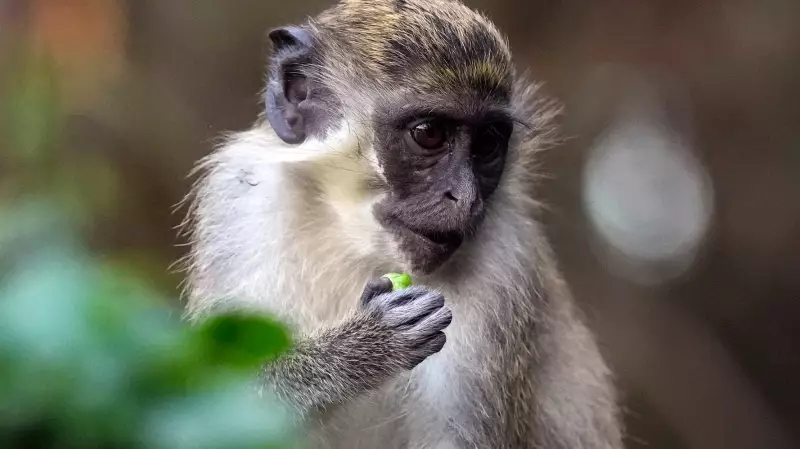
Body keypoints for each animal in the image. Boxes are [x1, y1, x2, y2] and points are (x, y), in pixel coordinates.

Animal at [180, 0, 623, 448]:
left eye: (487, 144)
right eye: (429, 134)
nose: (465, 198)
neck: (357, 243)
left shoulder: (506, 261)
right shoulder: (238, 203)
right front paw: (359, 348)